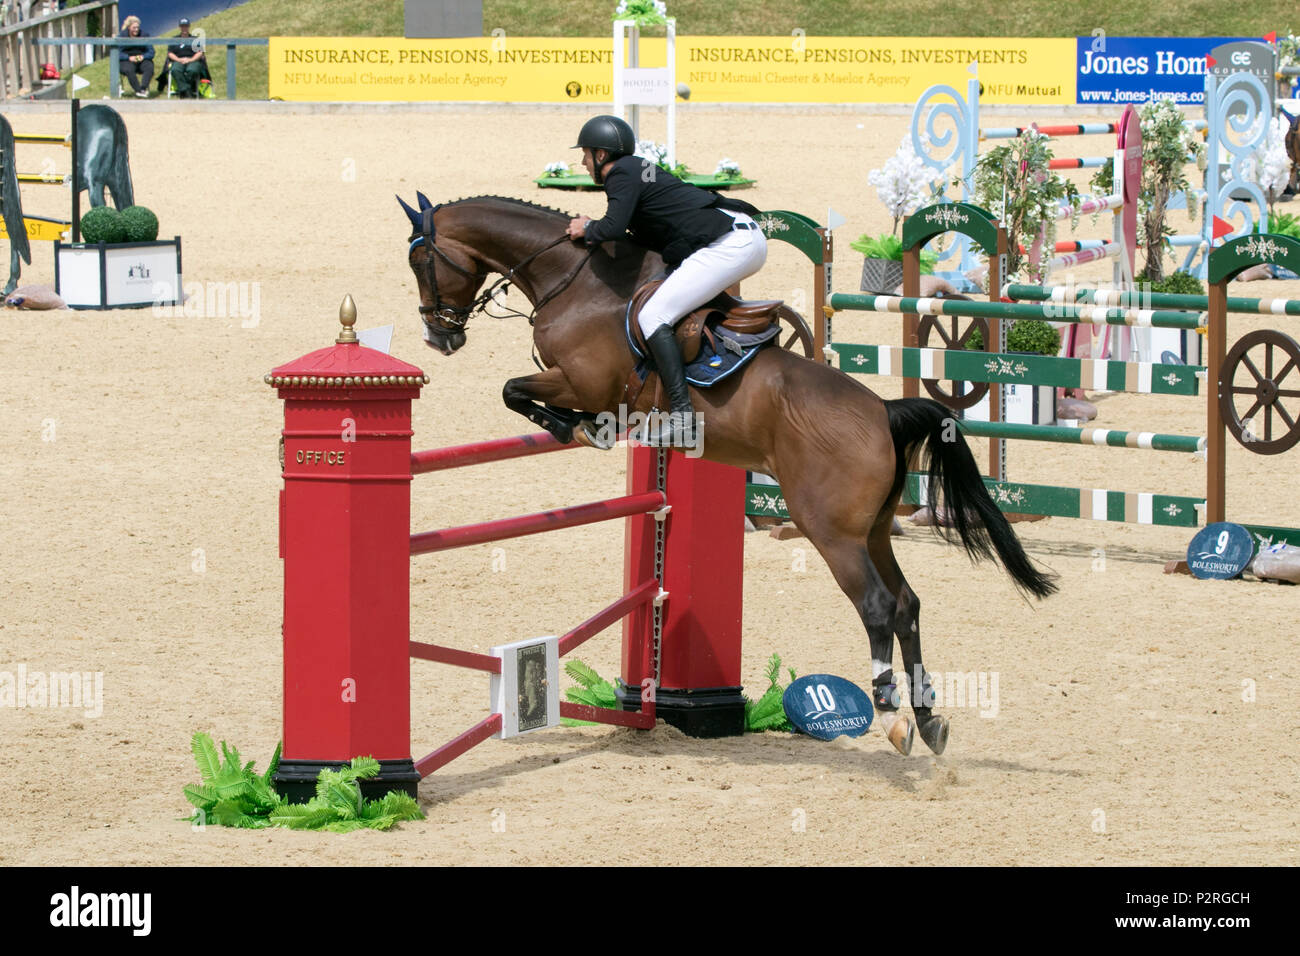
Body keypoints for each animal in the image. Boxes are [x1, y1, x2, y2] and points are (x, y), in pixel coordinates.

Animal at [398, 193, 1057, 756]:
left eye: (420, 260)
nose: (437, 335)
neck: (577, 279)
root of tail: (881, 411)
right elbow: (517, 390)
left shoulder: (586, 383)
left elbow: (515, 390)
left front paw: (571, 426)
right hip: (871, 529)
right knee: (907, 604)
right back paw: (927, 718)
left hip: (831, 531)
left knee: (876, 605)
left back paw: (892, 710)